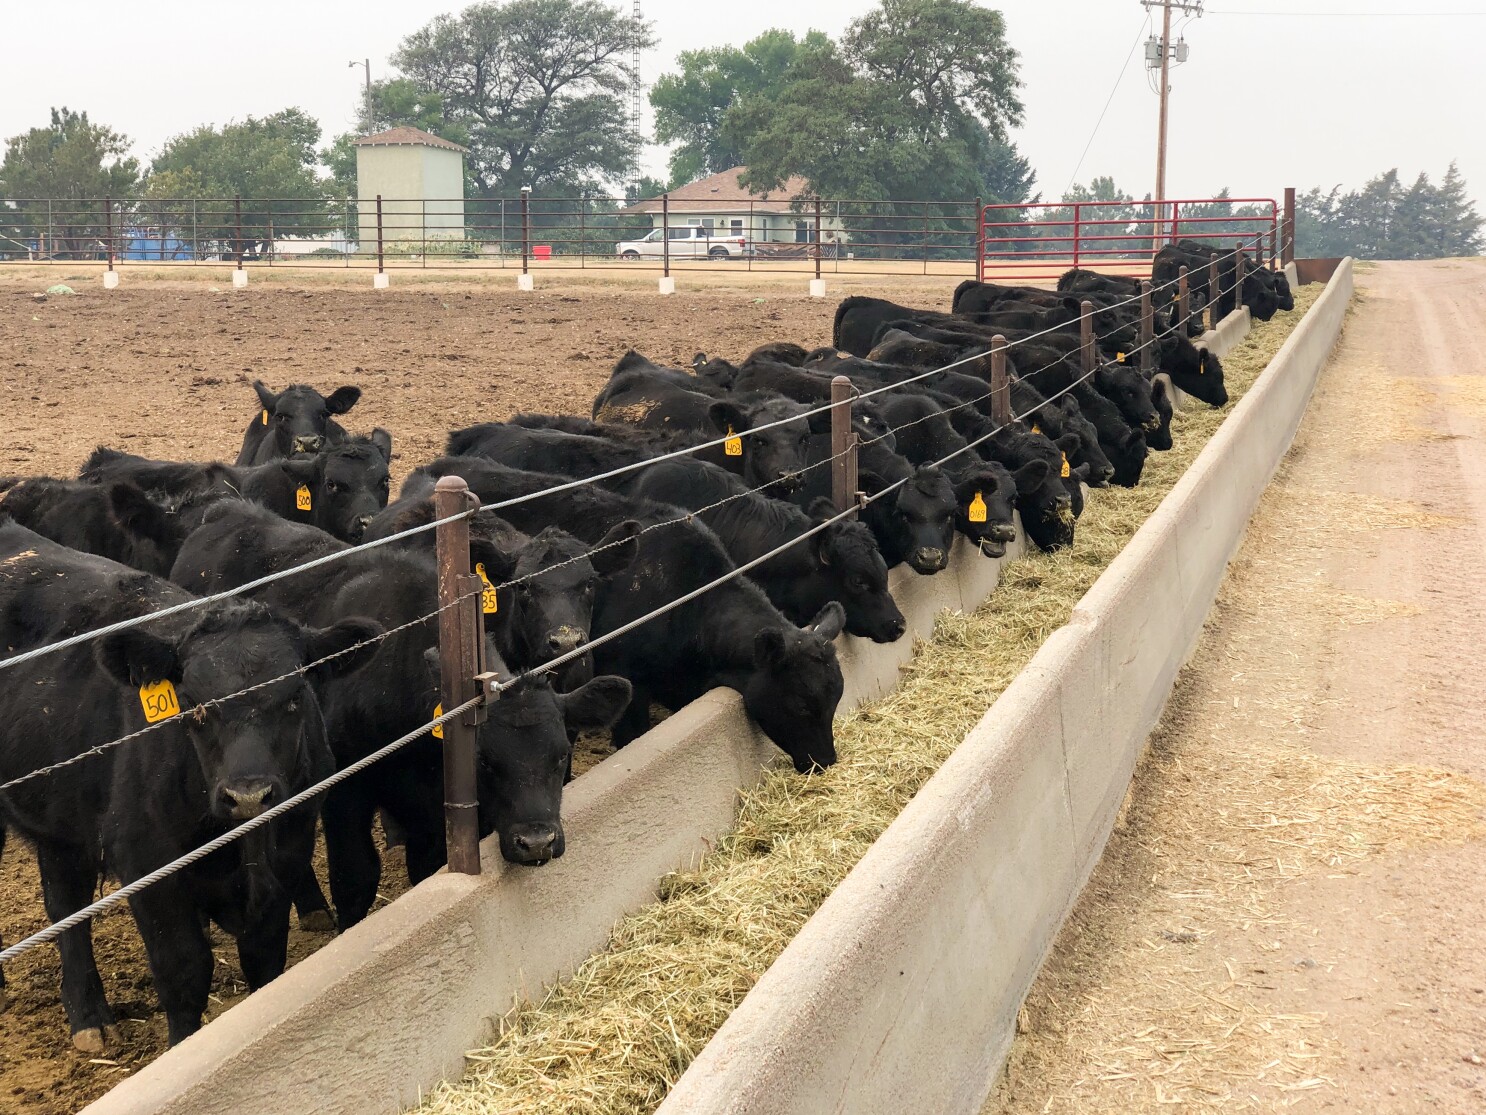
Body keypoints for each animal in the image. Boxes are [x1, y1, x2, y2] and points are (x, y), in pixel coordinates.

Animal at [0, 520, 380, 1049]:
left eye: (295, 695)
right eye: (193, 704)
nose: (248, 795)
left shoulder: (290, 842)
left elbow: (265, 955)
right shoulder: (146, 862)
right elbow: (183, 970)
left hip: (63, 819)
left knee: (64, 898)